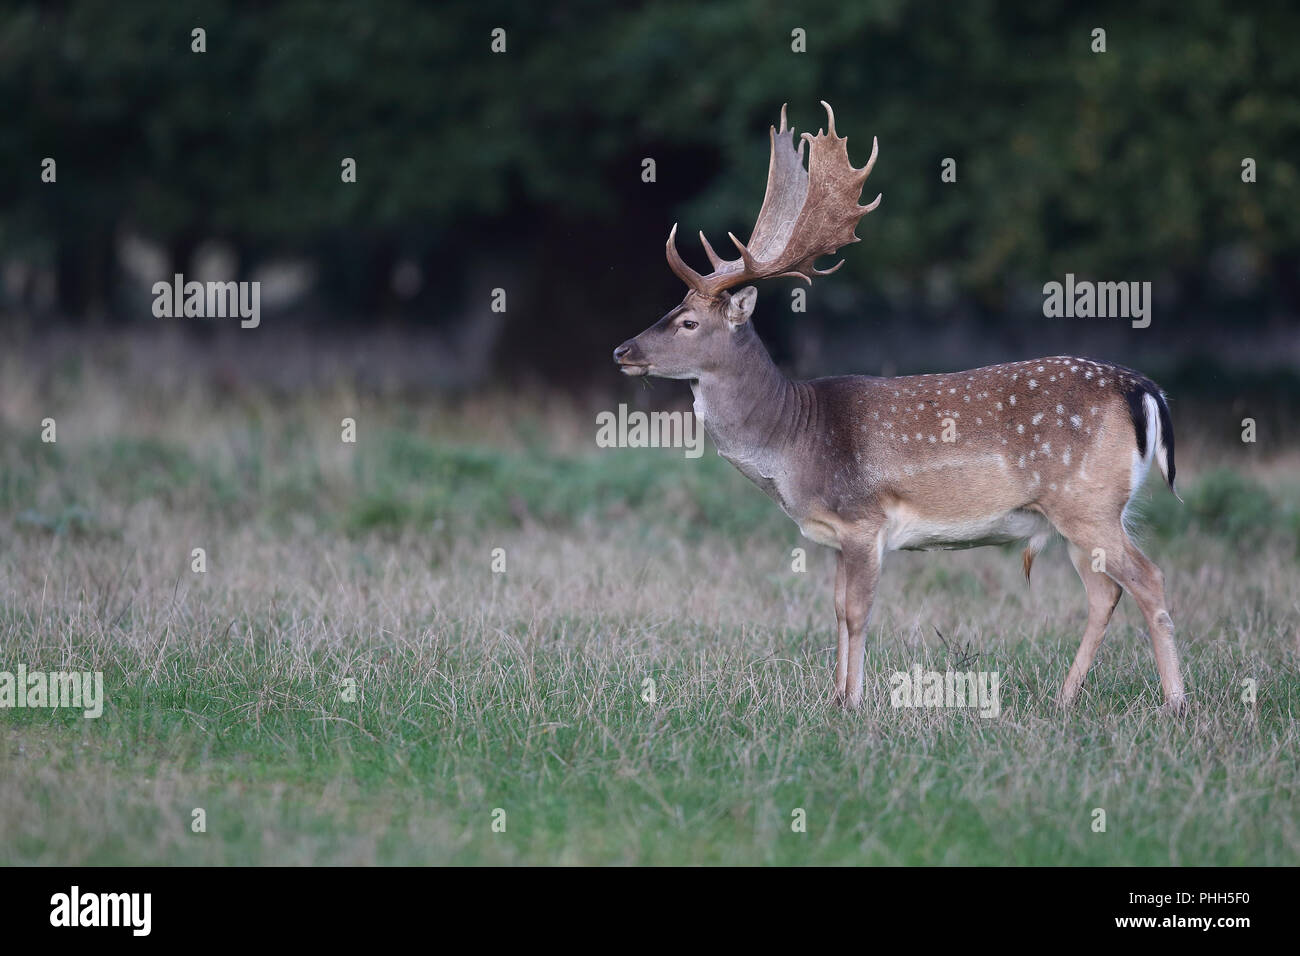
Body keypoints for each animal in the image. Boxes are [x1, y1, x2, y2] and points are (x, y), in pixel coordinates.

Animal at [613, 102, 1187, 714]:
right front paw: (837, 698)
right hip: (1088, 511)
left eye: (689, 322)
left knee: (1148, 578)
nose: (622, 351)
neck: (794, 440)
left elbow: (857, 612)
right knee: (1106, 592)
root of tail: (1144, 389)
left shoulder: (866, 519)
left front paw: (853, 703)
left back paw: (1174, 702)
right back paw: (1064, 698)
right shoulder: (836, 534)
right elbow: (836, 610)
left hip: (1086, 500)